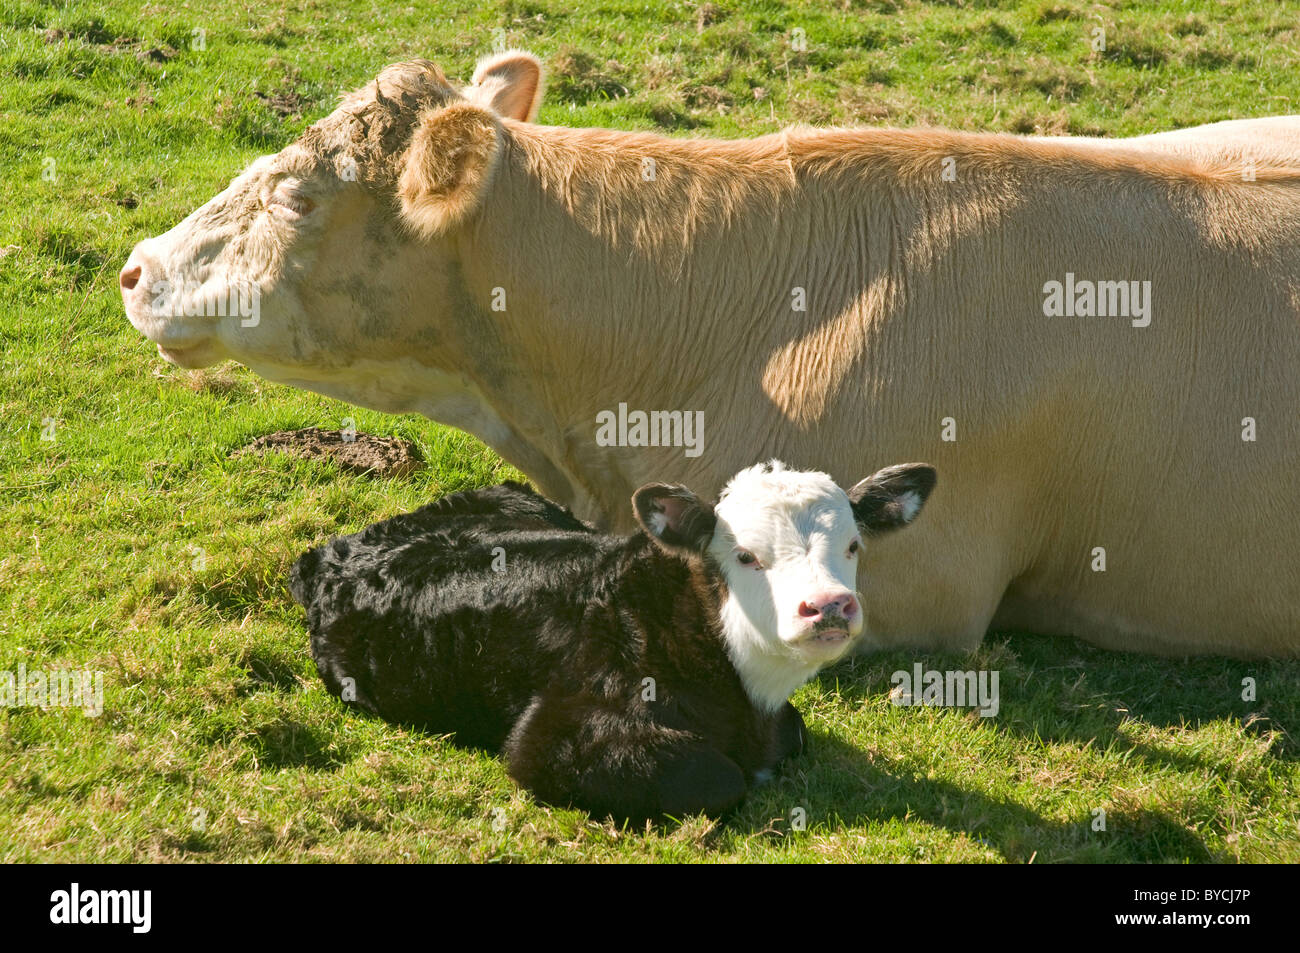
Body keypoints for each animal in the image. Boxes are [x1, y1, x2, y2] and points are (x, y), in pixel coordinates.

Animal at [289, 460, 937, 822]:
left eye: (852, 545)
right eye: (746, 556)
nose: (829, 605)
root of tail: (335, 551)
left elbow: (795, 733)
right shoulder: (551, 736)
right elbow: (719, 777)